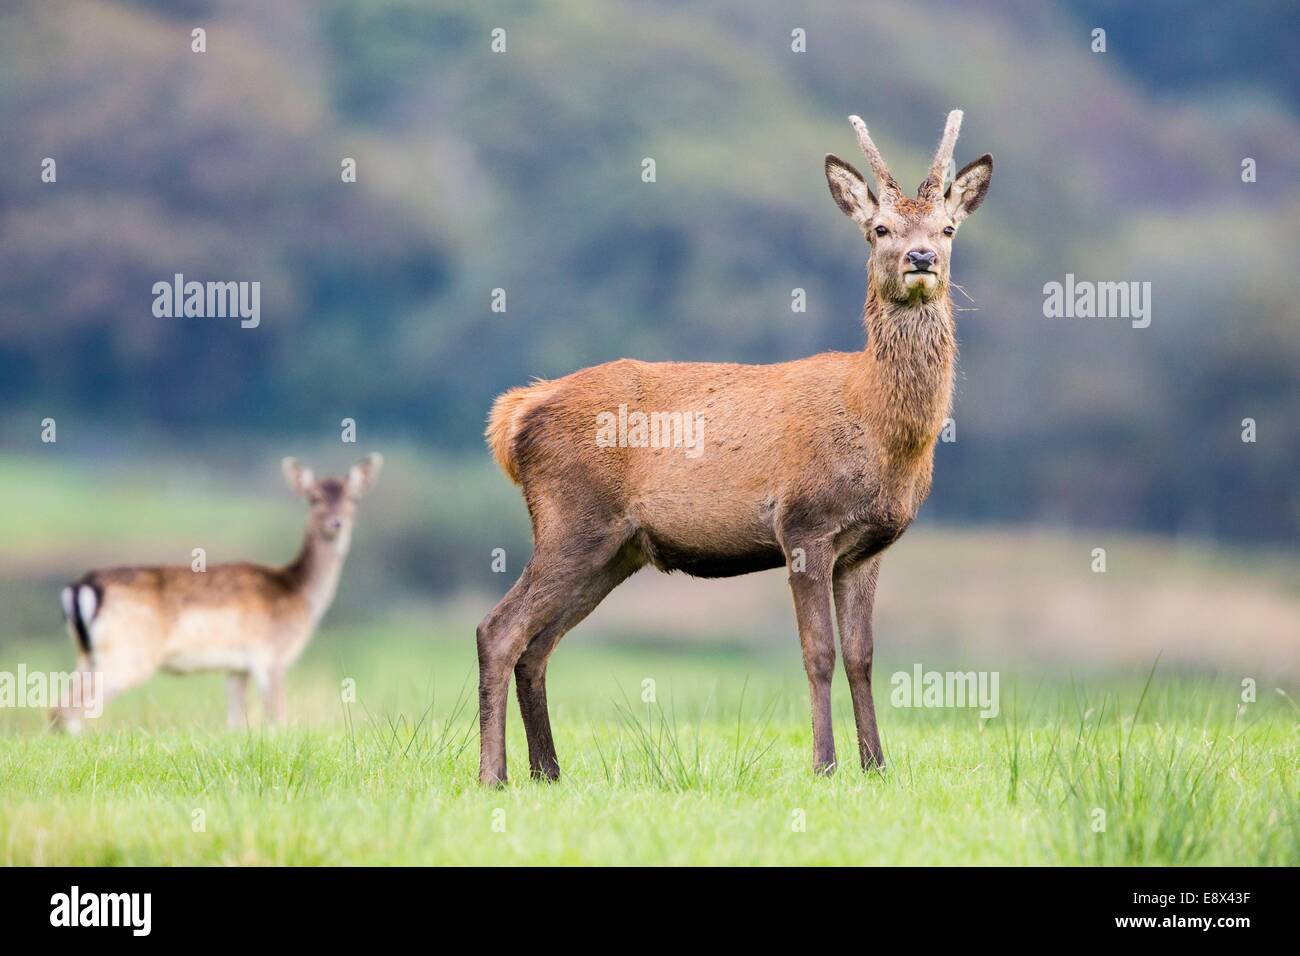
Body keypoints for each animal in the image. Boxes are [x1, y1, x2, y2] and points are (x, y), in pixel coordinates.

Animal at [49, 454, 383, 732]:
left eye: (353, 498)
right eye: (313, 498)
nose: (335, 523)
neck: (299, 592)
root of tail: (81, 587)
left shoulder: (237, 667)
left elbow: (235, 723)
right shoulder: (271, 657)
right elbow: (276, 719)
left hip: (87, 655)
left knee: (59, 706)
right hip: (127, 656)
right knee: (70, 709)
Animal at [478, 110, 991, 786]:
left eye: (948, 227)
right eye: (880, 227)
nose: (922, 256)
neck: (879, 427)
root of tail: (513, 416)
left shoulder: (868, 547)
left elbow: (862, 656)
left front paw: (877, 767)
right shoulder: (802, 523)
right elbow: (818, 654)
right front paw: (825, 765)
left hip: (614, 549)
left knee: (536, 646)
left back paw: (548, 773)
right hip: (573, 520)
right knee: (498, 630)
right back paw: (493, 775)